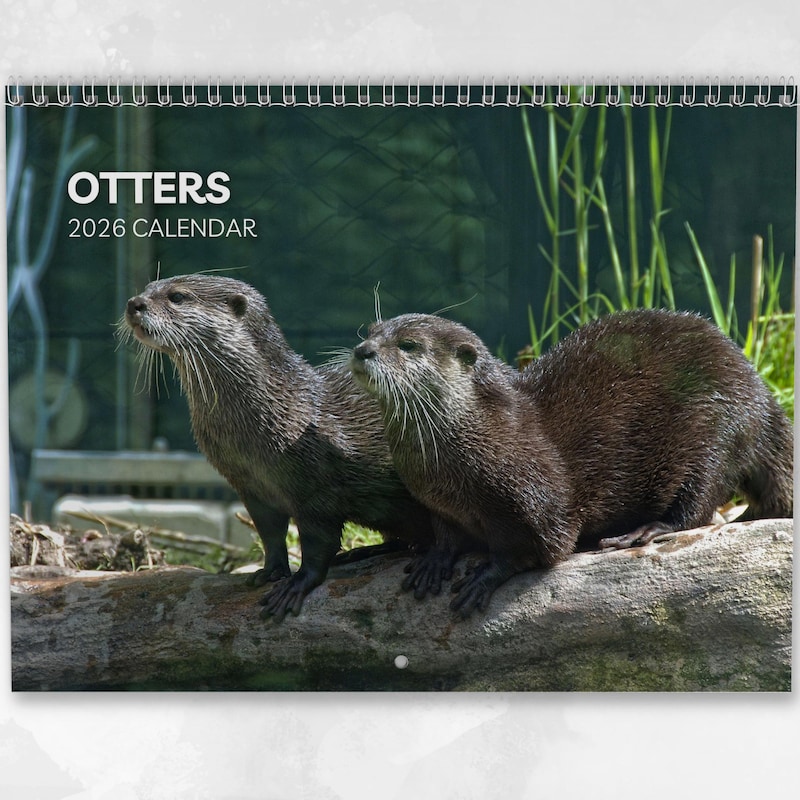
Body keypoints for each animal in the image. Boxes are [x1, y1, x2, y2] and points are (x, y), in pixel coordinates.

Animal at [122, 274, 434, 621]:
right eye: (148, 288)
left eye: (177, 296)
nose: (134, 303)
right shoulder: (250, 487)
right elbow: (270, 534)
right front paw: (269, 572)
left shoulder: (316, 490)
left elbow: (319, 543)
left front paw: (297, 583)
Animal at [350, 310, 793, 617]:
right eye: (369, 331)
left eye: (409, 345)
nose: (362, 350)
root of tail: (760, 394)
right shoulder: (437, 503)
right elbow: (445, 535)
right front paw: (434, 561)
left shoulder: (537, 500)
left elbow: (540, 548)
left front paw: (485, 577)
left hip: (717, 431)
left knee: (698, 504)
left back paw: (643, 531)